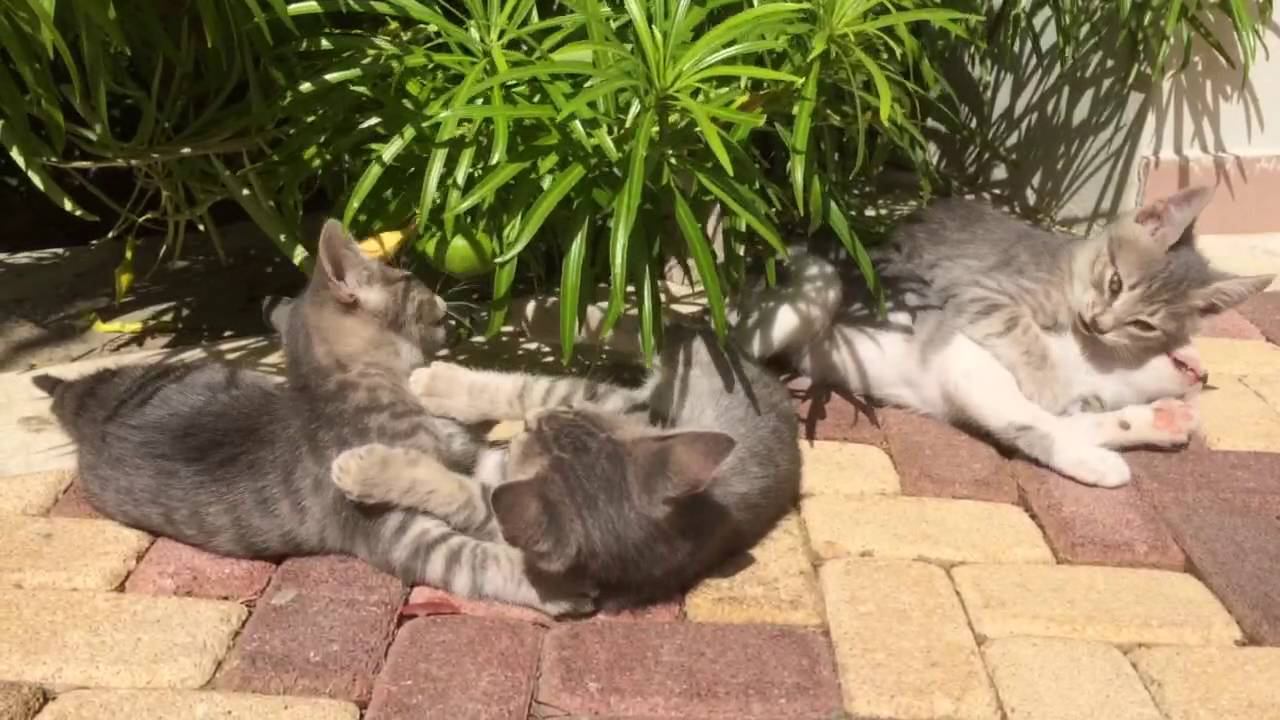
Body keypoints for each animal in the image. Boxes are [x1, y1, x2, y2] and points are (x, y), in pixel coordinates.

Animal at [31, 219, 593, 616]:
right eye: (409, 277)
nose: (441, 291)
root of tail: (94, 413)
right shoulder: (399, 532)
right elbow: (478, 558)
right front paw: (553, 586)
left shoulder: (470, 457)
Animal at [326, 319, 803, 610]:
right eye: (566, 418)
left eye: (531, 437)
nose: (531, 424)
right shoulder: (609, 405)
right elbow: (527, 391)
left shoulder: (495, 503)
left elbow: (455, 486)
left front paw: (370, 468)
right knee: (669, 333)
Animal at [729, 186, 1272, 488]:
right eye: (1117, 287)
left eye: (1150, 324)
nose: (1205, 372)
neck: (1093, 368)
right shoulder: (966, 361)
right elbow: (1033, 419)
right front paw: (1093, 462)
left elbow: (1074, 420)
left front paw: (1155, 420)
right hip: (818, 283)